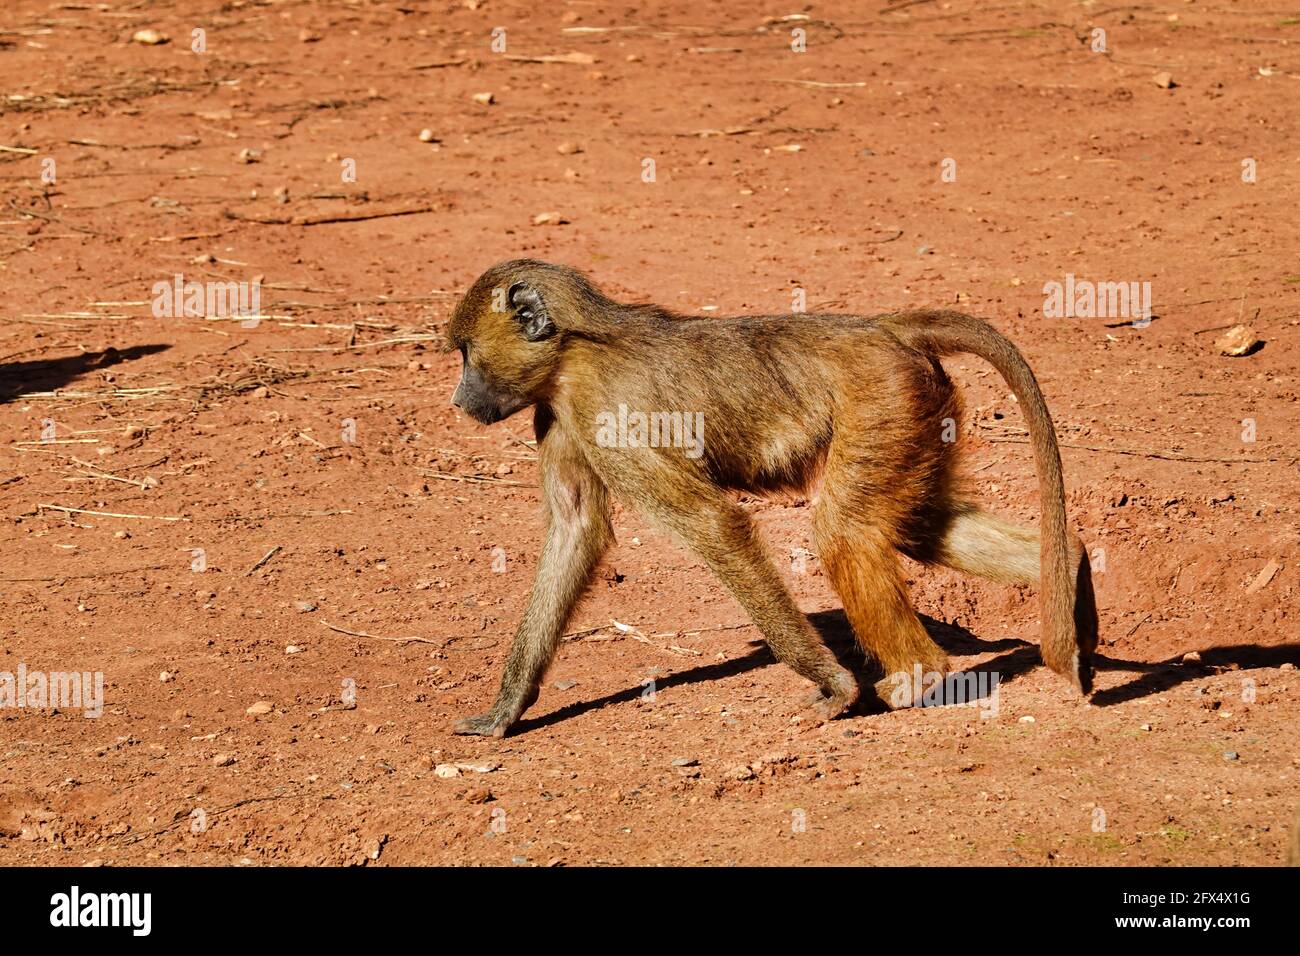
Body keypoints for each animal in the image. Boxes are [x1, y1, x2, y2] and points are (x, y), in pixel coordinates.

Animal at [444, 259, 1098, 737]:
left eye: (465, 353)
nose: (459, 400)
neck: (573, 352)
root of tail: (883, 327)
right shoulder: (557, 414)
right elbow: (575, 528)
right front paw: (505, 711)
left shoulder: (608, 409)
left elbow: (711, 523)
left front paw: (834, 686)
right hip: (916, 413)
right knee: (920, 527)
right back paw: (1071, 569)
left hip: (884, 400)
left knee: (843, 531)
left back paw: (920, 675)